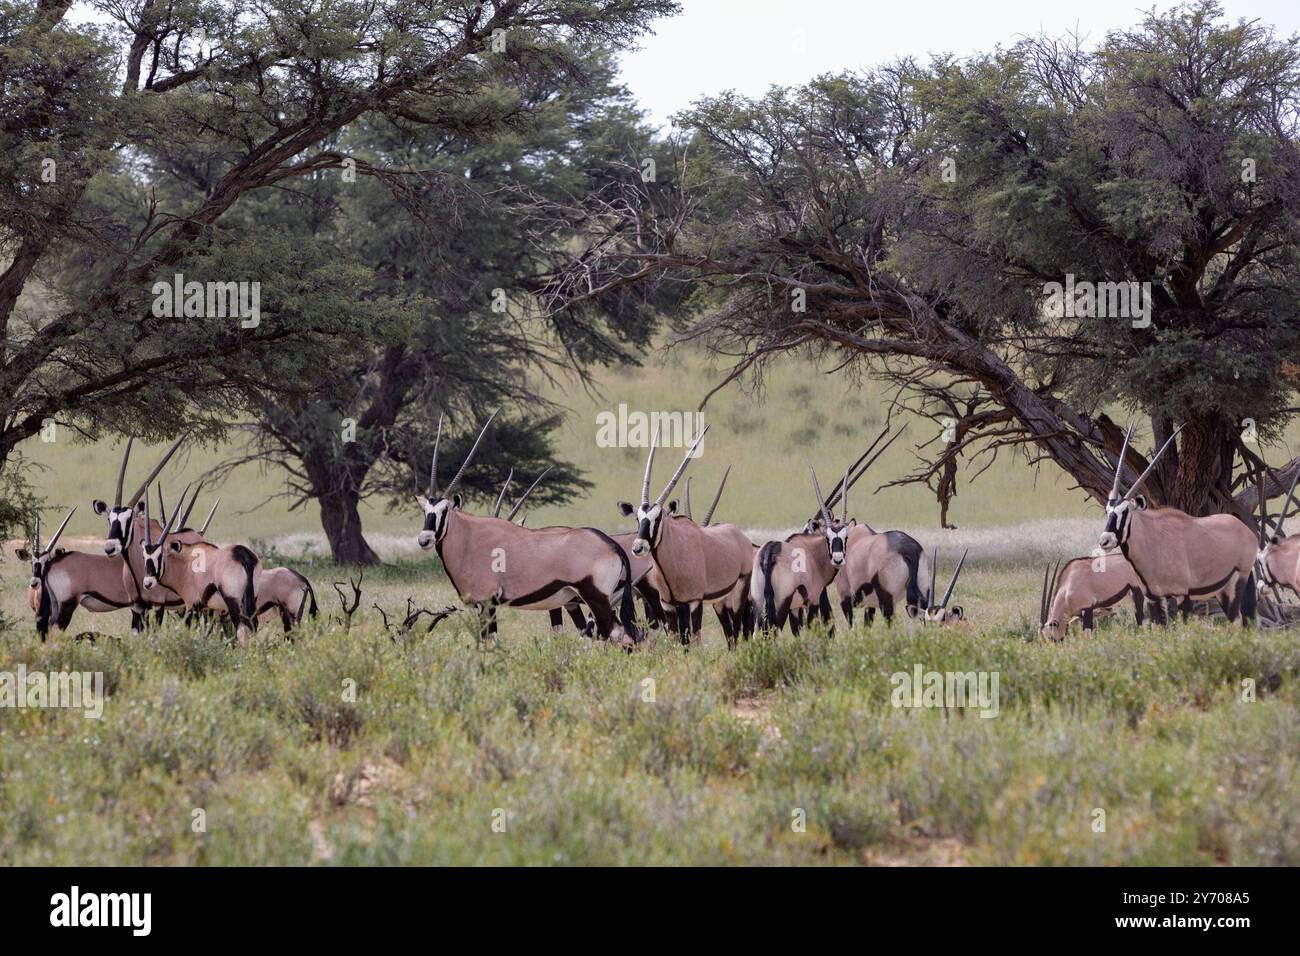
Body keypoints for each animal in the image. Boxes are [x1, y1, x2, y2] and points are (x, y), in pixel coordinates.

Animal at [139, 484, 261, 642]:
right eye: (144, 557)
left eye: (160, 556)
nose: (147, 583)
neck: (185, 561)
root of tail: (243, 556)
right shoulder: (208, 608)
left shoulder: (192, 606)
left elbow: (193, 631)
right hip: (249, 601)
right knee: (252, 626)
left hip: (233, 603)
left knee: (241, 630)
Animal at [416, 414, 638, 643]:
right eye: (425, 510)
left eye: (444, 510)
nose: (424, 539)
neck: (469, 537)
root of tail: (612, 545)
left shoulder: (487, 603)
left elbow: (489, 641)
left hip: (596, 598)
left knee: (617, 633)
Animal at [618, 426, 753, 647]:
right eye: (638, 518)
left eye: (658, 517)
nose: (638, 547)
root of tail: (739, 536)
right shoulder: (668, 605)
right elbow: (677, 642)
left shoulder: (694, 602)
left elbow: (695, 640)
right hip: (719, 601)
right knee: (730, 634)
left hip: (738, 592)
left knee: (738, 630)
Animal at [1098, 425, 1257, 625]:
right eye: (1107, 511)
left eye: (1126, 511)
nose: (1105, 540)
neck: (1152, 541)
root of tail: (1246, 530)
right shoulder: (1153, 597)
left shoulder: (1182, 595)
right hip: (1222, 590)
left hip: (1238, 582)